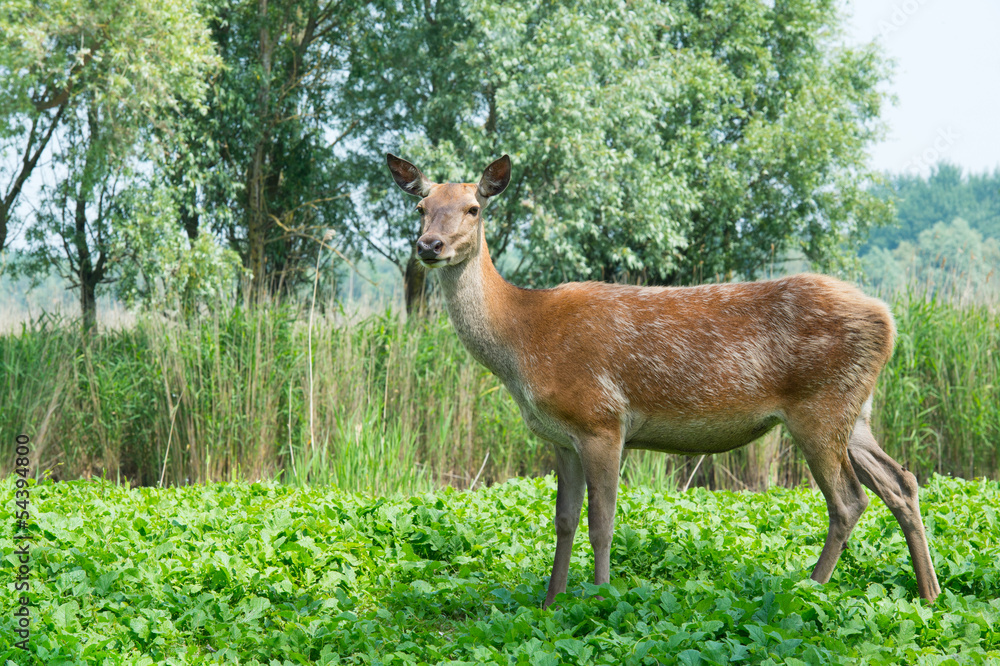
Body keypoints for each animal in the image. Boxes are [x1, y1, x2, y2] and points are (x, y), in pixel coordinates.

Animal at [386, 152, 942, 608]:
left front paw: (600, 597)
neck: (522, 339)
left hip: (819, 408)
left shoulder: (601, 420)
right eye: (421, 206)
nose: (429, 245)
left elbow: (602, 522)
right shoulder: (560, 438)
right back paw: (929, 593)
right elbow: (563, 521)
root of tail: (889, 319)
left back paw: (808, 588)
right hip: (856, 410)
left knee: (849, 501)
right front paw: (549, 602)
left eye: (473, 208)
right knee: (901, 481)